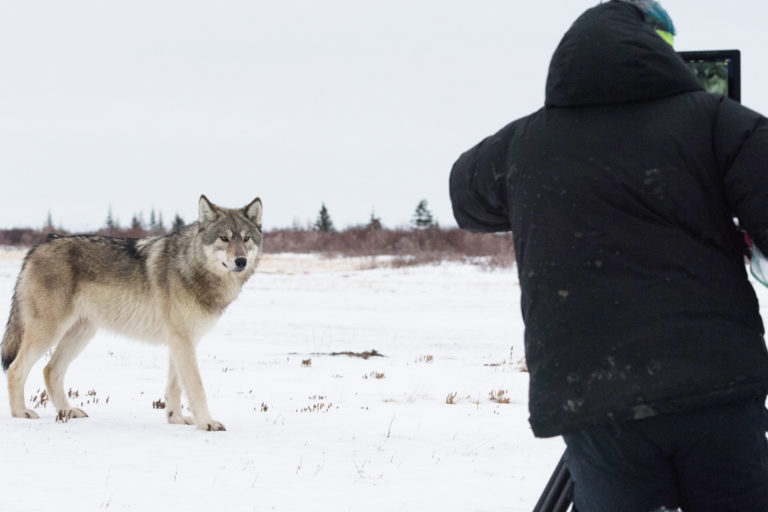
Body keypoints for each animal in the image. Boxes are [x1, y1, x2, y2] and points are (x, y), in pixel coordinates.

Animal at [1, 195, 262, 431]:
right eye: (224, 238)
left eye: (246, 239)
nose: (241, 261)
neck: (191, 267)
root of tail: (39, 245)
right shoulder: (183, 341)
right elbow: (196, 387)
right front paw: (207, 423)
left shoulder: (182, 342)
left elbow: (175, 387)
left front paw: (176, 419)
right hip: (49, 332)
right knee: (15, 369)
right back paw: (20, 413)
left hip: (82, 334)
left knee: (50, 370)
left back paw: (66, 411)